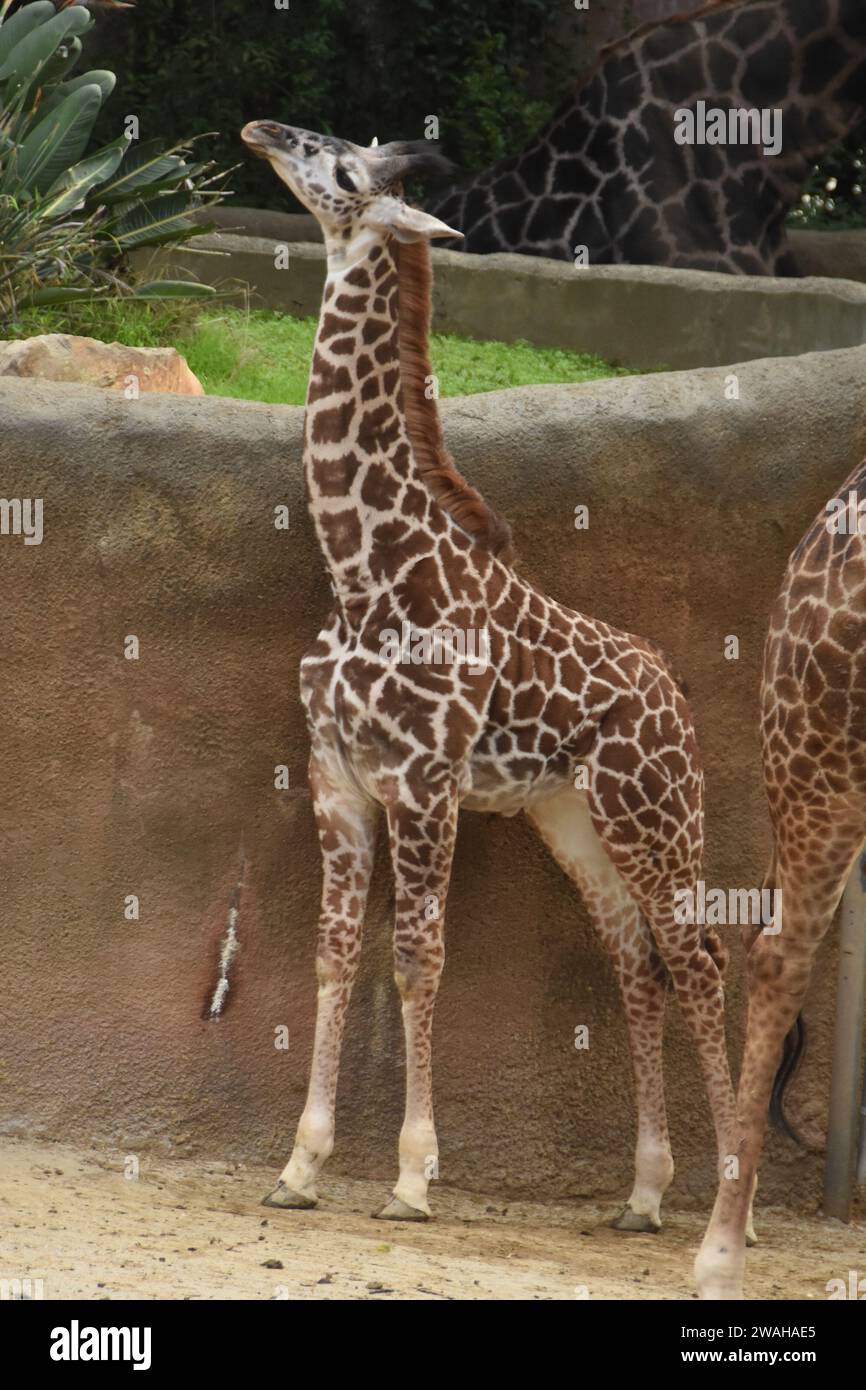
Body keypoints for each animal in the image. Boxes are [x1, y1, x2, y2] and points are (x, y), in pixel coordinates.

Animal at [241, 118, 738, 1229]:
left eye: (342, 165)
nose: (263, 130)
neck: (364, 570)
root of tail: (676, 694)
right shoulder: (338, 776)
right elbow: (335, 954)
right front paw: (298, 1166)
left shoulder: (426, 785)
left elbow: (418, 962)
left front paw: (411, 1177)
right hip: (573, 820)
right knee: (636, 965)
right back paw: (643, 1194)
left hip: (656, 818)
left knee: (701, 959)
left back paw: (733, 1195)